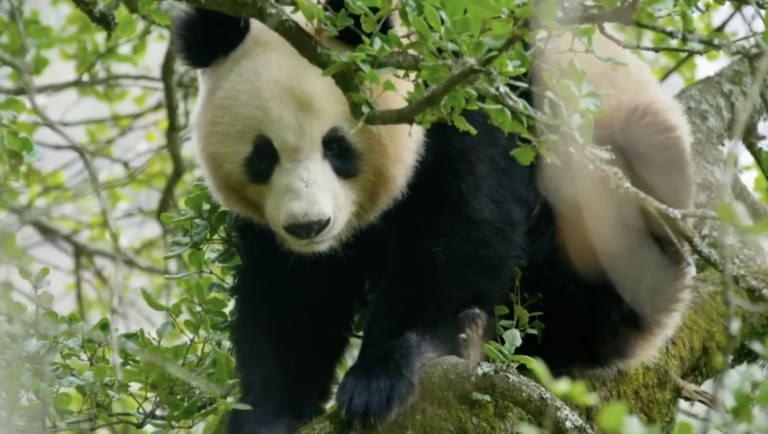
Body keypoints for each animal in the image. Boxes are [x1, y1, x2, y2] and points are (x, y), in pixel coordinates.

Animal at [171, 1, 695, 433]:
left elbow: (462, 230)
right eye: (263, 156)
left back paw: (473, 336)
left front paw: (378, 379)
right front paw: (268, 414)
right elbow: (293, 295)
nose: (309, 226)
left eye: (336, 146)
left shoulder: (473, 101)